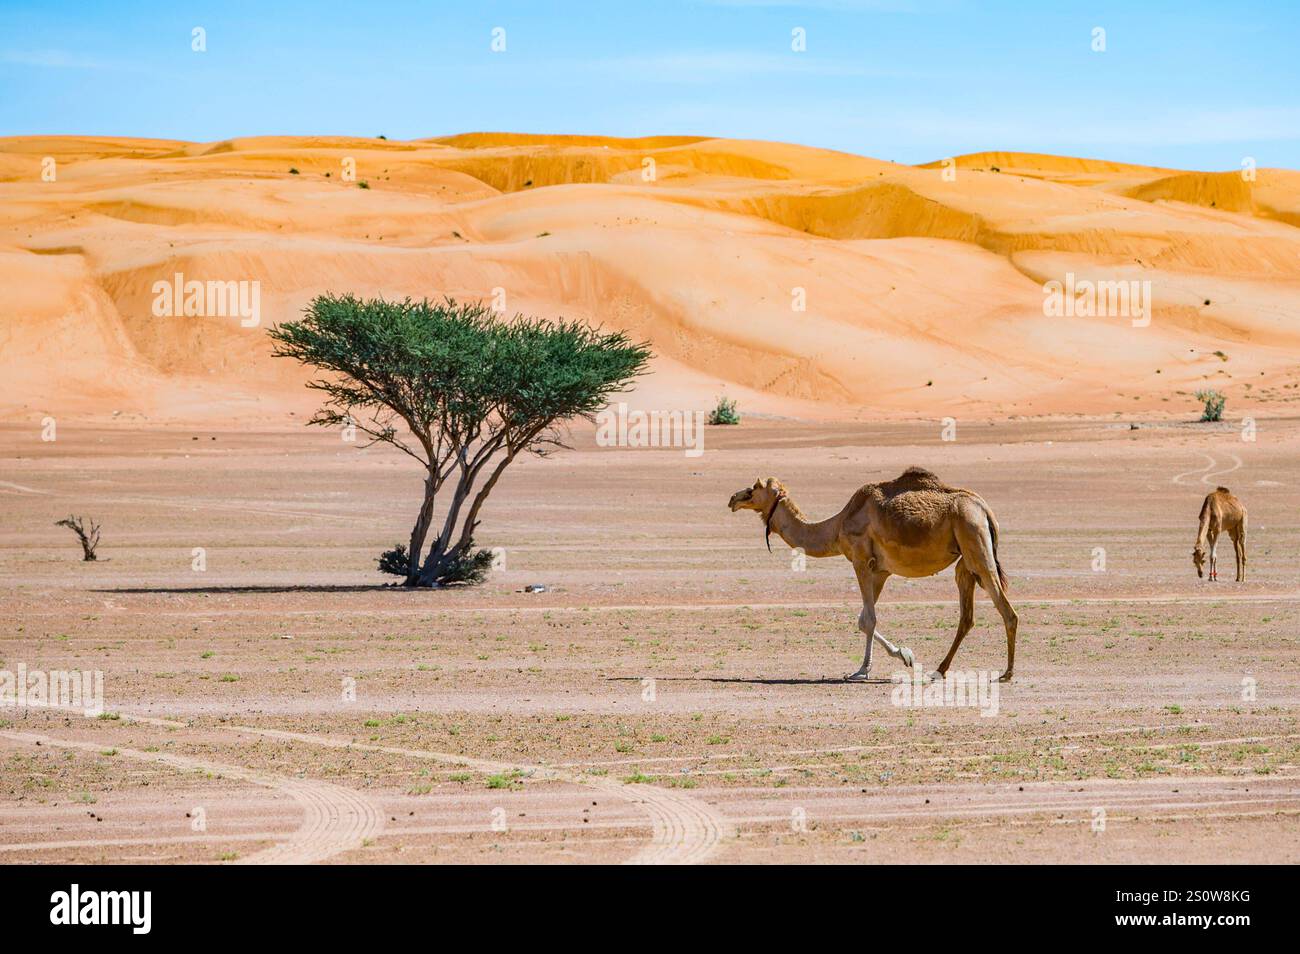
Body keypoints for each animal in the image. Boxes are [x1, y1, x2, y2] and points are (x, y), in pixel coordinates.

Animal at [729, 467, 1018, 682]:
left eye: (754, 487)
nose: (733, 499)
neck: (836, 526)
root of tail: (985, 509)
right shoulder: (880, 570)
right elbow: (863, 619)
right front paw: (906, 655)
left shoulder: (860, 560)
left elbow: (868, 619)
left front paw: (861, 670)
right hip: (966, 557)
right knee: (967, 615)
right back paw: (939, 670)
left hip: (974, 540)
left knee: (1006, 610)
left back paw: (1006, 673)